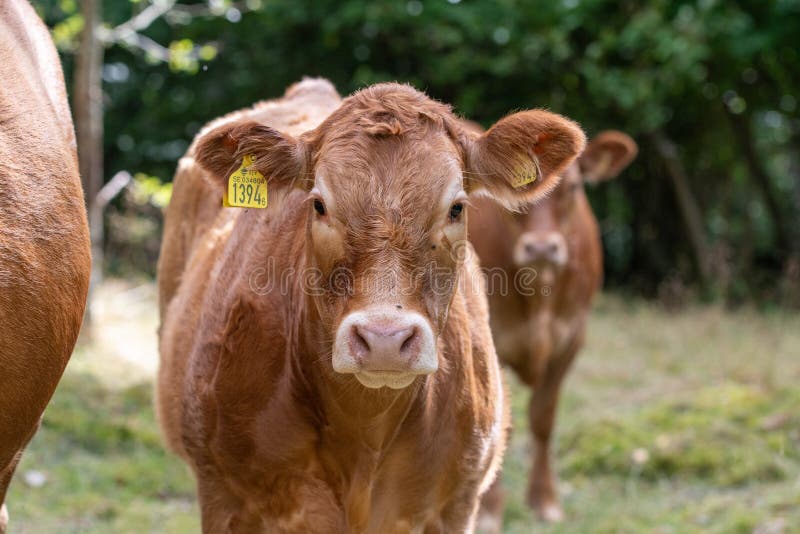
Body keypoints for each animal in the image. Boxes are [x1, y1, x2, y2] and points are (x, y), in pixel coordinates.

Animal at [470, 131, 638, 524]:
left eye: (573, 187)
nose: (542, 247)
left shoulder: (571, 338)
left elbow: (543, 418)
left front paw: (544, 500)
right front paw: (490, 510)